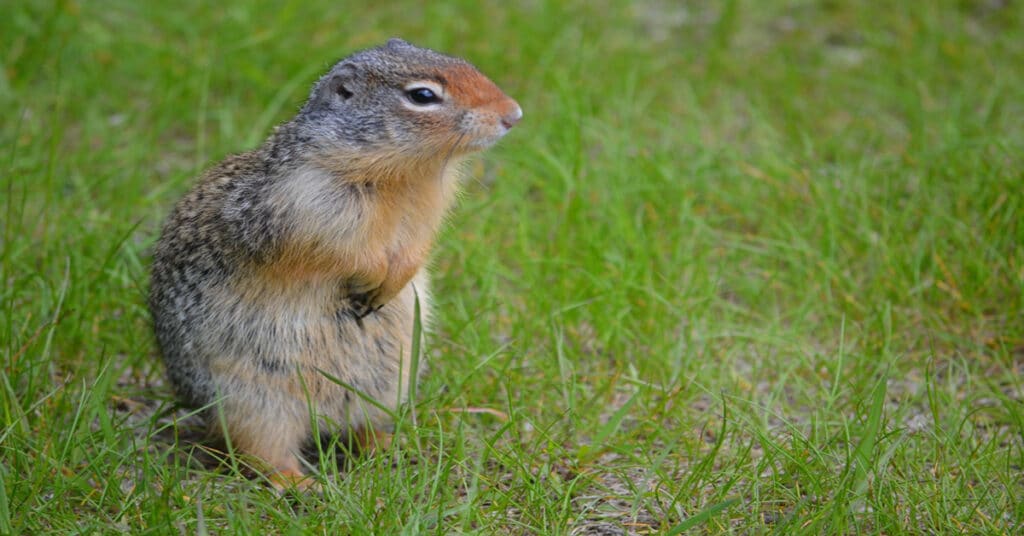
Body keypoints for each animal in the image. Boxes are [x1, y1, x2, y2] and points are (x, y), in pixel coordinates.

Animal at [148, 38, 521, 489]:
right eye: (422, 95)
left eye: (463, 62)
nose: (513, 114)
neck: (408, 176)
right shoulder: (310, 204)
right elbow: (342, 251)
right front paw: (371, 278)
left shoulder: (429, 211)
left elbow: (416, 249)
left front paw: (392, 280)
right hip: (252, 403)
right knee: (257, 452)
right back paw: (298, 483)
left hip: (386, 387)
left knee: (360, 428)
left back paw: (392, 446)